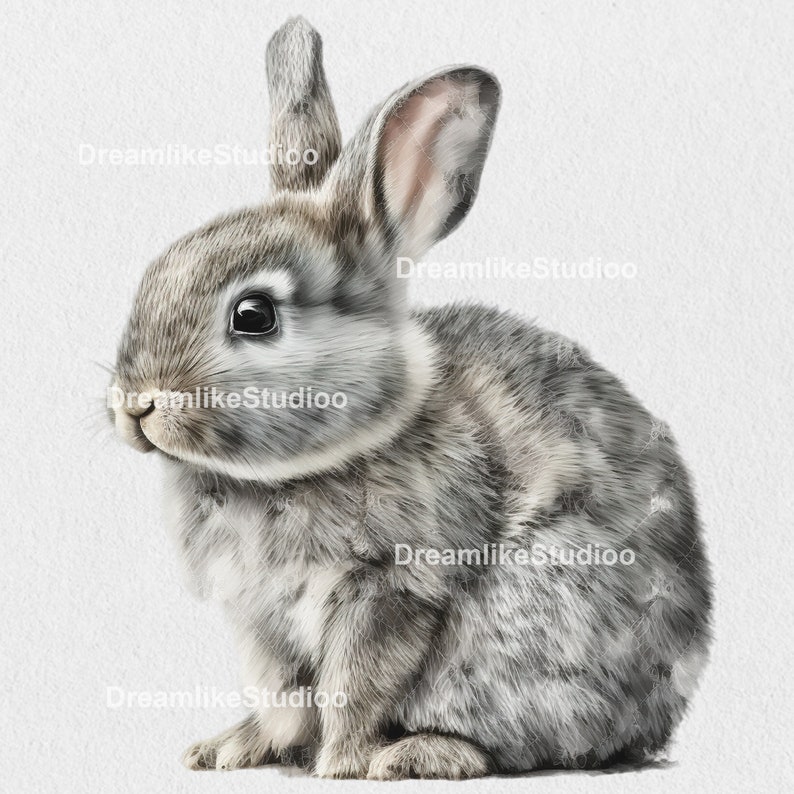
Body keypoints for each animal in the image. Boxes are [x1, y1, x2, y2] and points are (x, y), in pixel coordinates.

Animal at [109, 15, 712, 780]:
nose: (135, 404)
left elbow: (355, 685)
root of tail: (659, 719)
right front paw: (233, 750)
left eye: (254, 315)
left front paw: (339, 765)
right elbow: (282, 695)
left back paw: (420, 753)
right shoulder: (259, 620)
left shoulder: (390, 586)